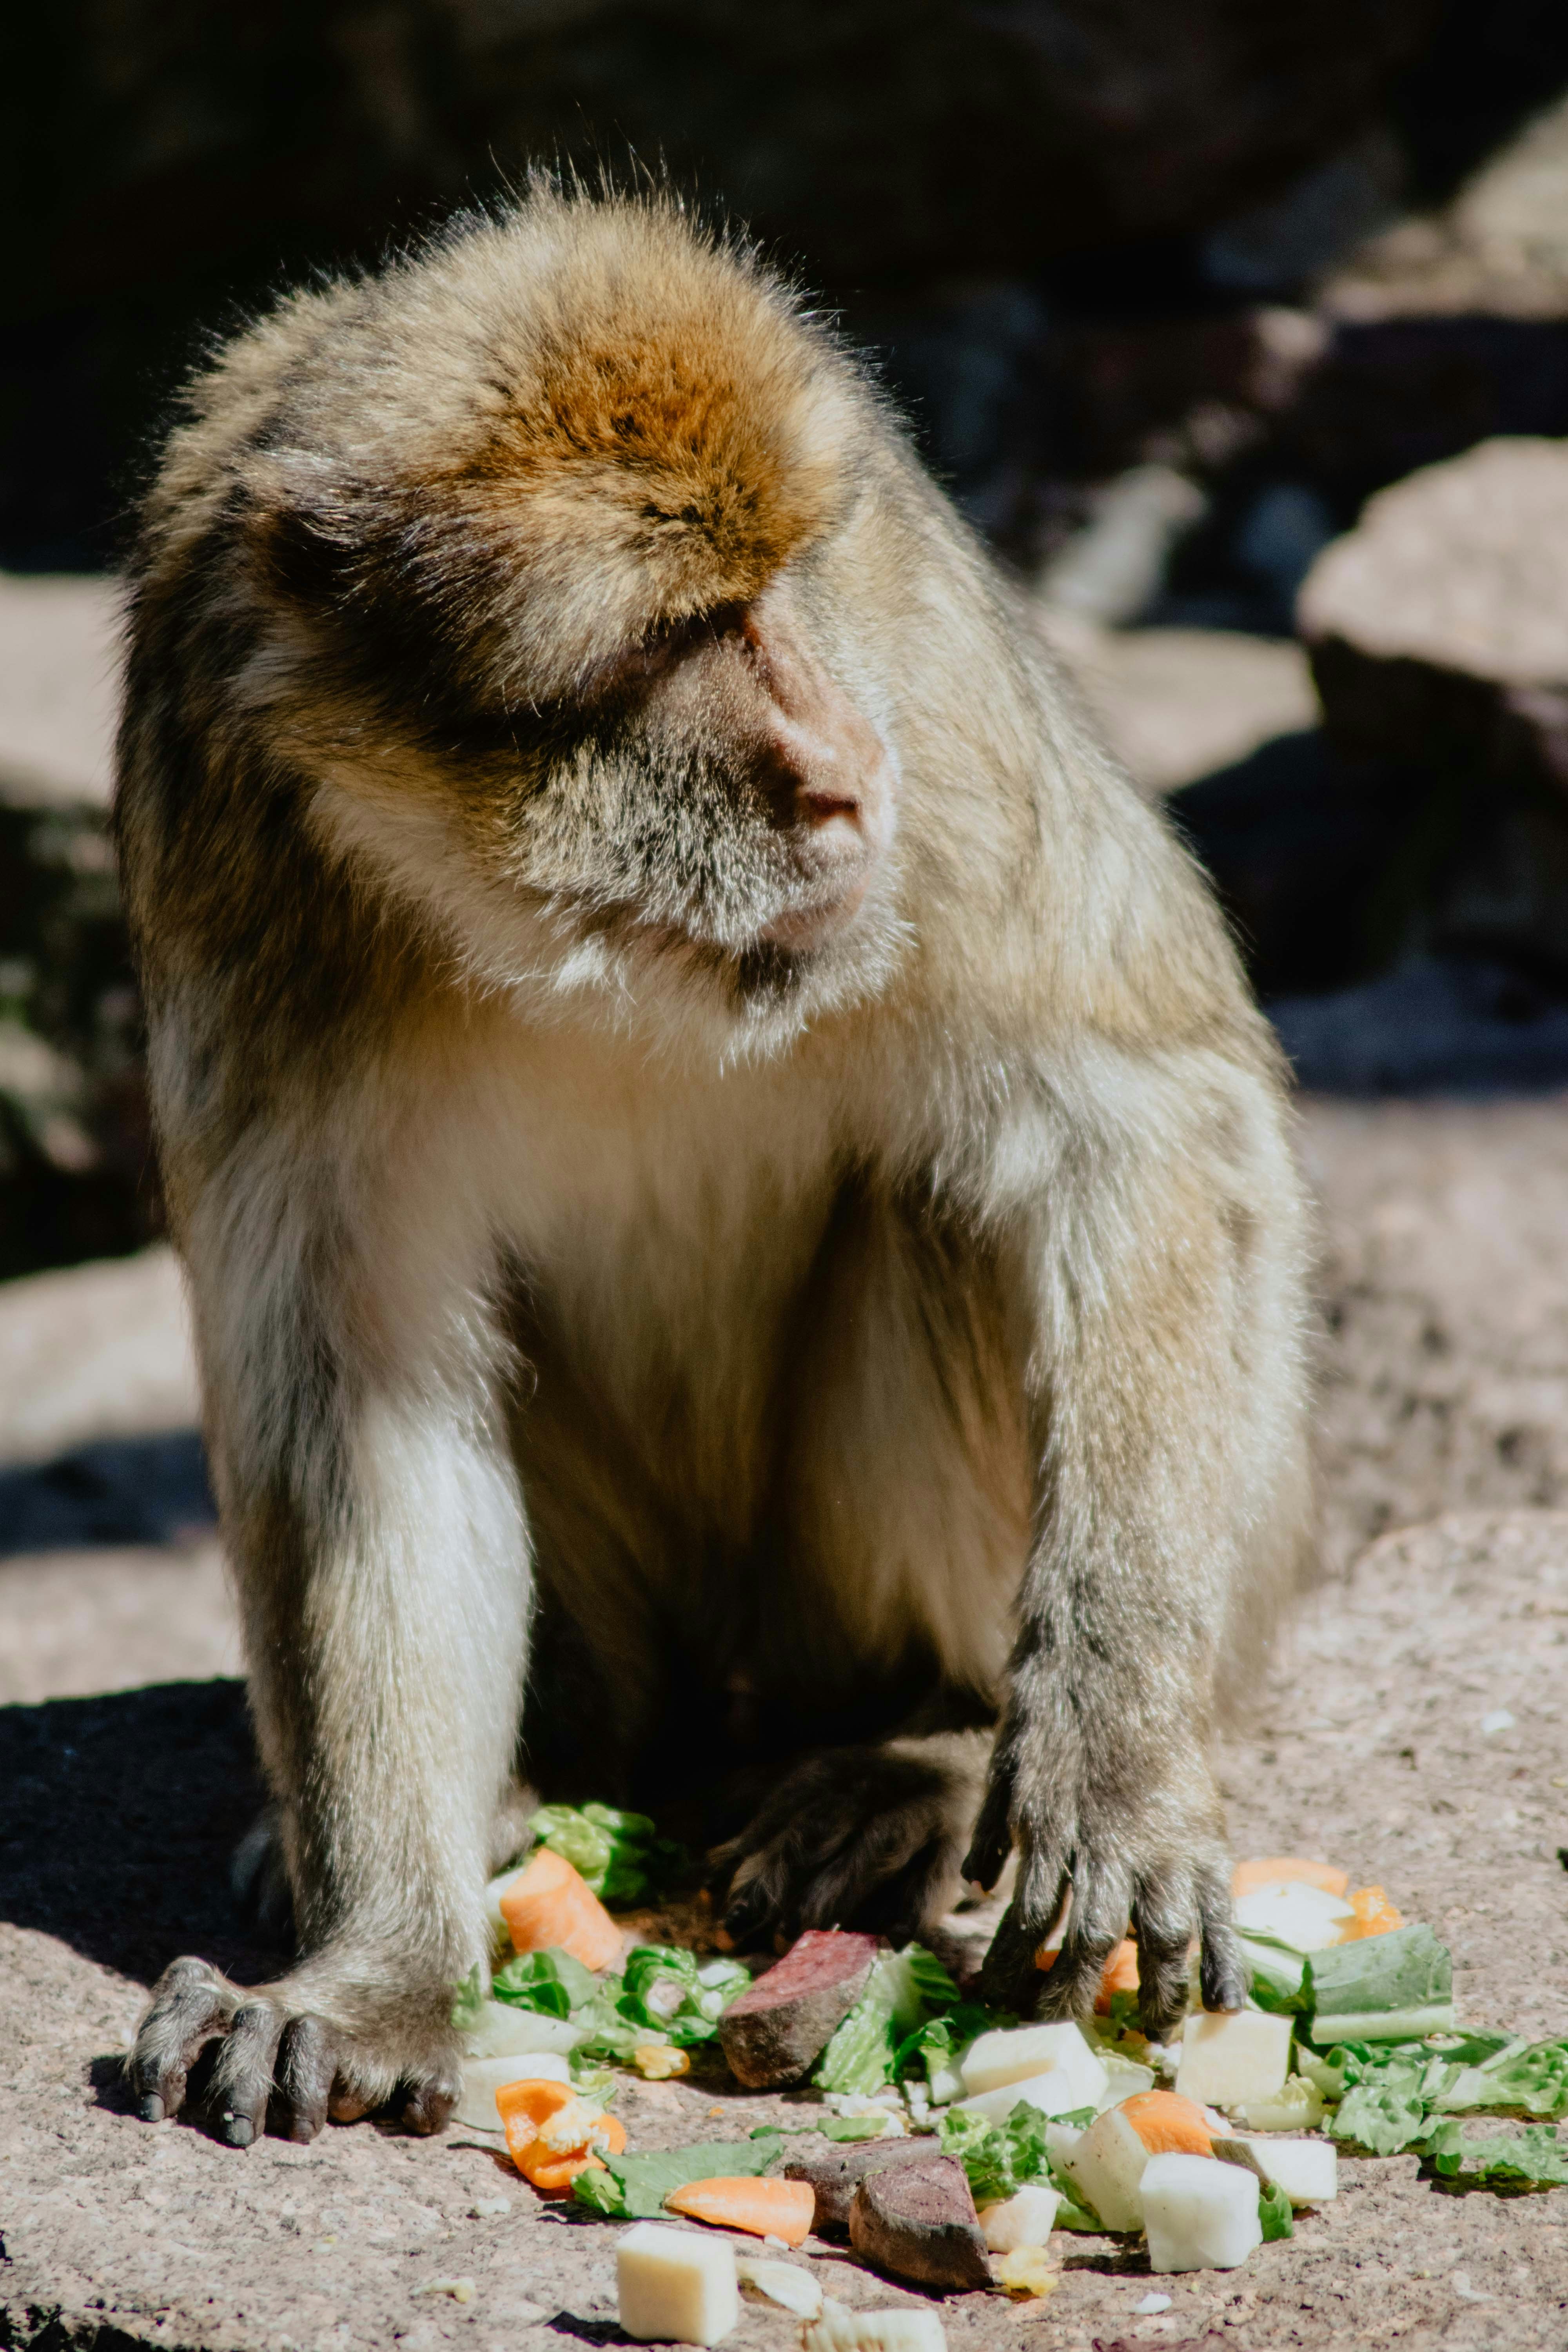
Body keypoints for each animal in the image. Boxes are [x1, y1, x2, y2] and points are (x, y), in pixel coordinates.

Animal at [115, 182, 1313, 2149]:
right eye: (680, 639)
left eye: (781, 593)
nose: (830, 769)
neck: (567, 922)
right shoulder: (226, 814)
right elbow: (355, 1381)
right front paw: (378, 1967)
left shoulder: (929, 694)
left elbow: (1134, 1115)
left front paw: (1117, 1753)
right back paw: (520, 1782)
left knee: (947, 1209)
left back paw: (907, 1745)